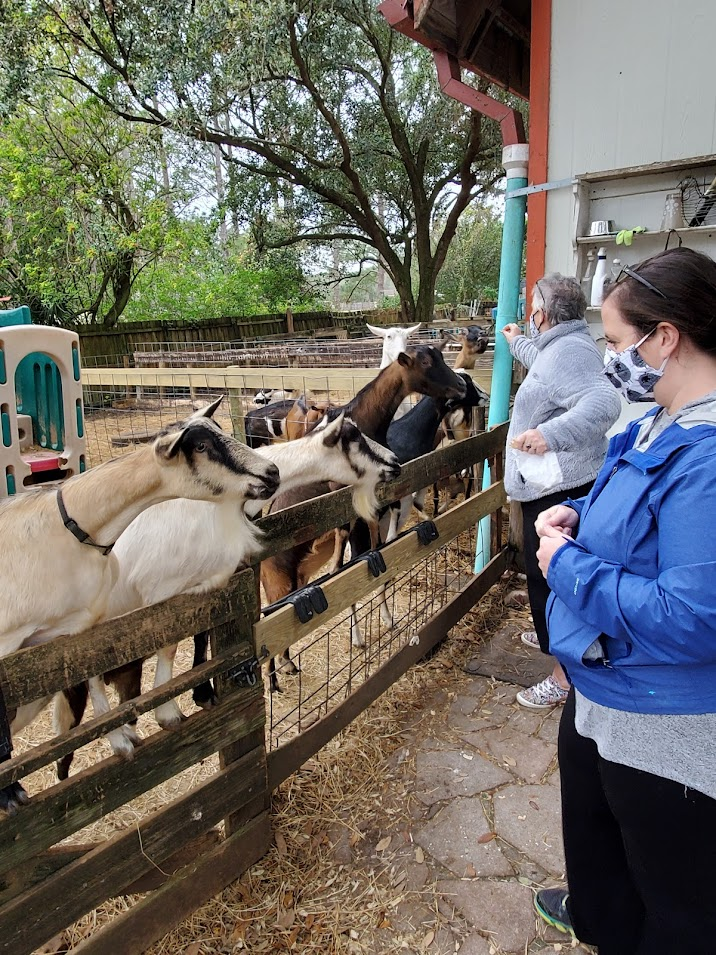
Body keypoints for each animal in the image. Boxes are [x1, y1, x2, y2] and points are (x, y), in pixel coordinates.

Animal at [0, 397, 280, 813]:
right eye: (200, 446)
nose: (272, 472)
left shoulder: (78, 631)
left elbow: (174, 644)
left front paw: (148, 722)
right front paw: (160, 715)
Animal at [54, 413, 401, 777]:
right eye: (354, 438)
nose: (394, 462)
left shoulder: (211, 584)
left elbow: (203, 636)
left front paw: (204, 692)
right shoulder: (161, 591)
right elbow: (173, 646)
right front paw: (183, 704)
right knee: (88, 678)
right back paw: (111, 742)